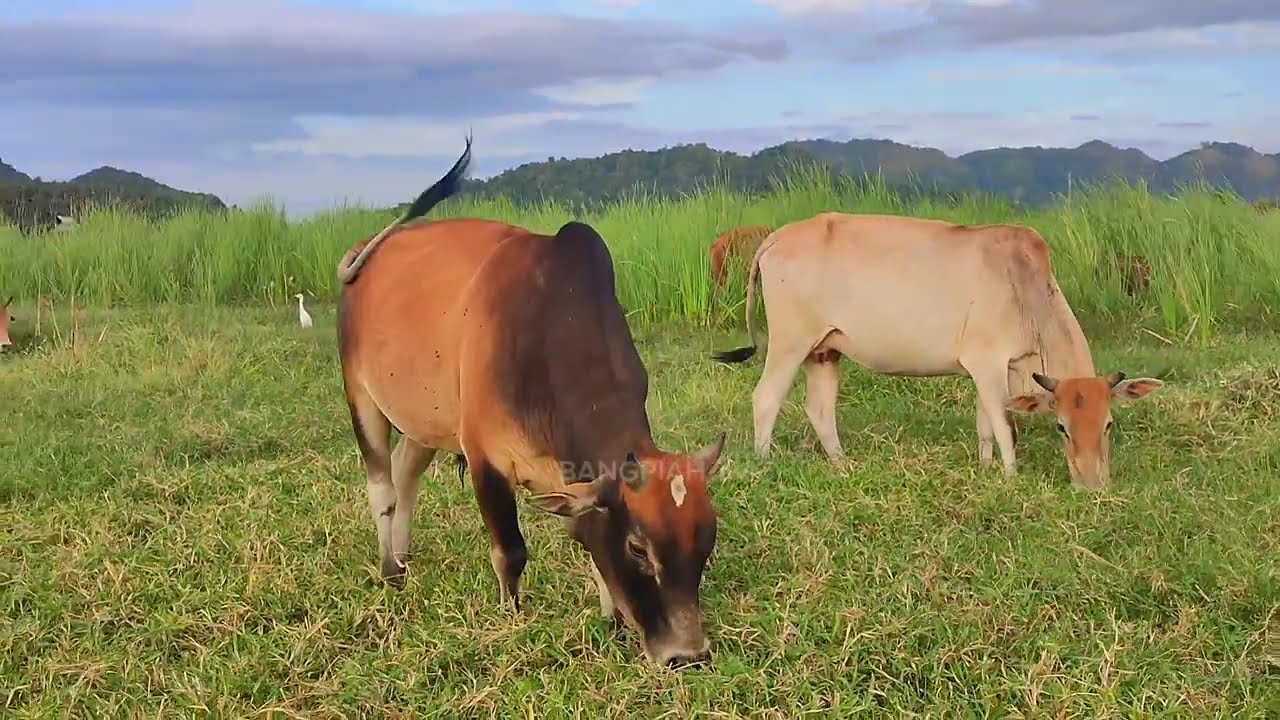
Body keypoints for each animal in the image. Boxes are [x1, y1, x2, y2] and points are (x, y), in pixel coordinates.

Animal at [335, 137, 728, 668]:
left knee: (404, 471)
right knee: (382, 486)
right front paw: (511, 616)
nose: (688, 655)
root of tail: (369, 249)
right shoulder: (484, 458)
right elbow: (511, 552)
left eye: (706, 541)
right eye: (637, 548)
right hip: (361, 396)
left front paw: (610, 619)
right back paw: (389, 570)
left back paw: (402, 554)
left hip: (428, 420)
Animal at [711, 212, 1163, 490]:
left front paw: (985, 468)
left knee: (819, 409)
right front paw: (1011, 478)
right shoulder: (987, 363)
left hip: (824, 351)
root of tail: (777, 236)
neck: (1025, 287)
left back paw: (841, 464)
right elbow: (1004, 426)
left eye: (1108, 425)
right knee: (766, 398)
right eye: (1061, 427)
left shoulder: (990, 370)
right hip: (790, 342)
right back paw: (764, 462)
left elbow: (986, 425)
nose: (1092, 485)